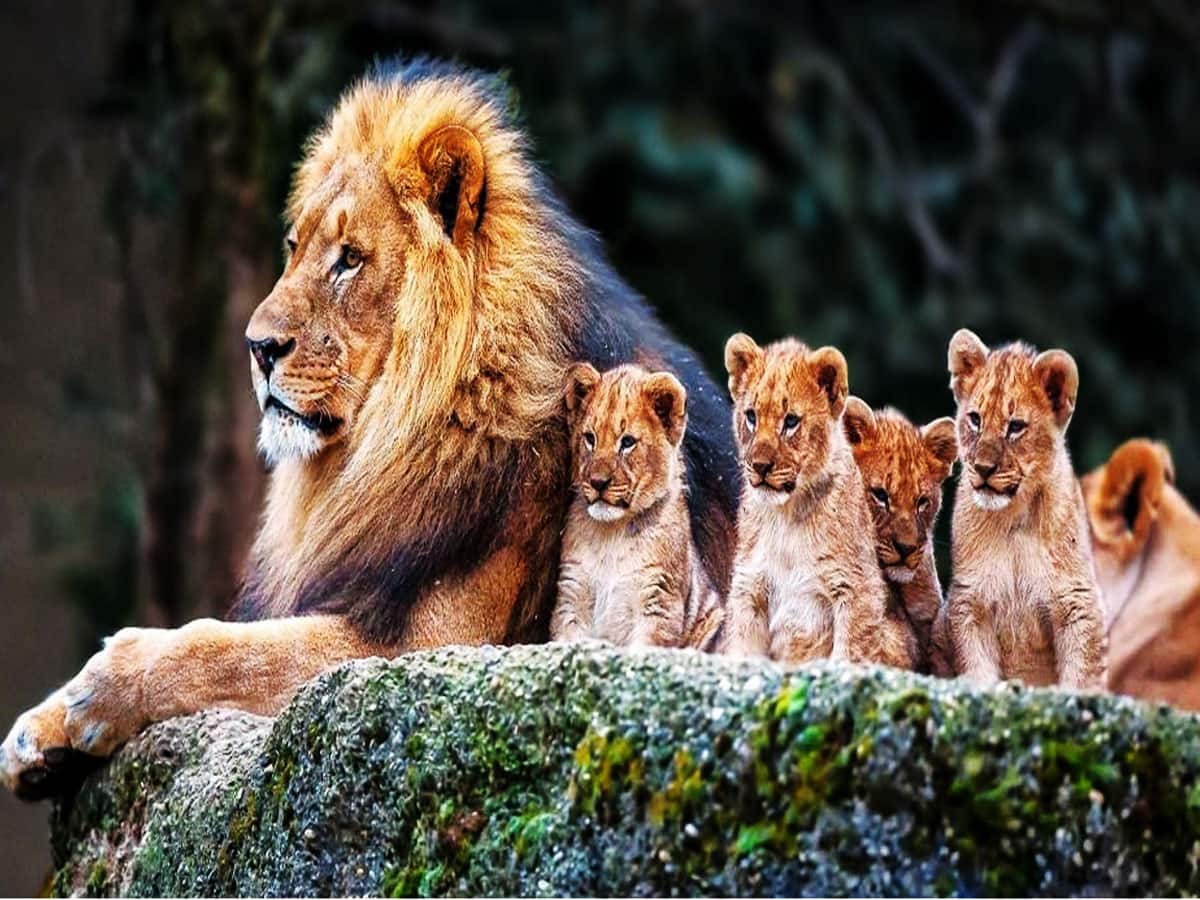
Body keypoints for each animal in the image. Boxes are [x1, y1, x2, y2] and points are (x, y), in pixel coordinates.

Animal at [551, 363, 724, 650]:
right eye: (589, 438)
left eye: (627, 442)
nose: (598, 482)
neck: (611, 533)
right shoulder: (572, 596)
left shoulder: (658, 602)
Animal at [720, 334, 910, 667]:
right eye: (751, 416)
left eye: (791, 421)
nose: (759, 466)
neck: (786, 517)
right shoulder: (749, 587)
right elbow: (742, 648)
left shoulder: (857, 588)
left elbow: (849, 652)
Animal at [945, 328, 1106, 690]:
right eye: (974, 420)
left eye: (1015, 426)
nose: (983, 468)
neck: (1014, 518)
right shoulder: (970, 599)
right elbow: (977, 669)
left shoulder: (1078, 601)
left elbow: (1081, 676)